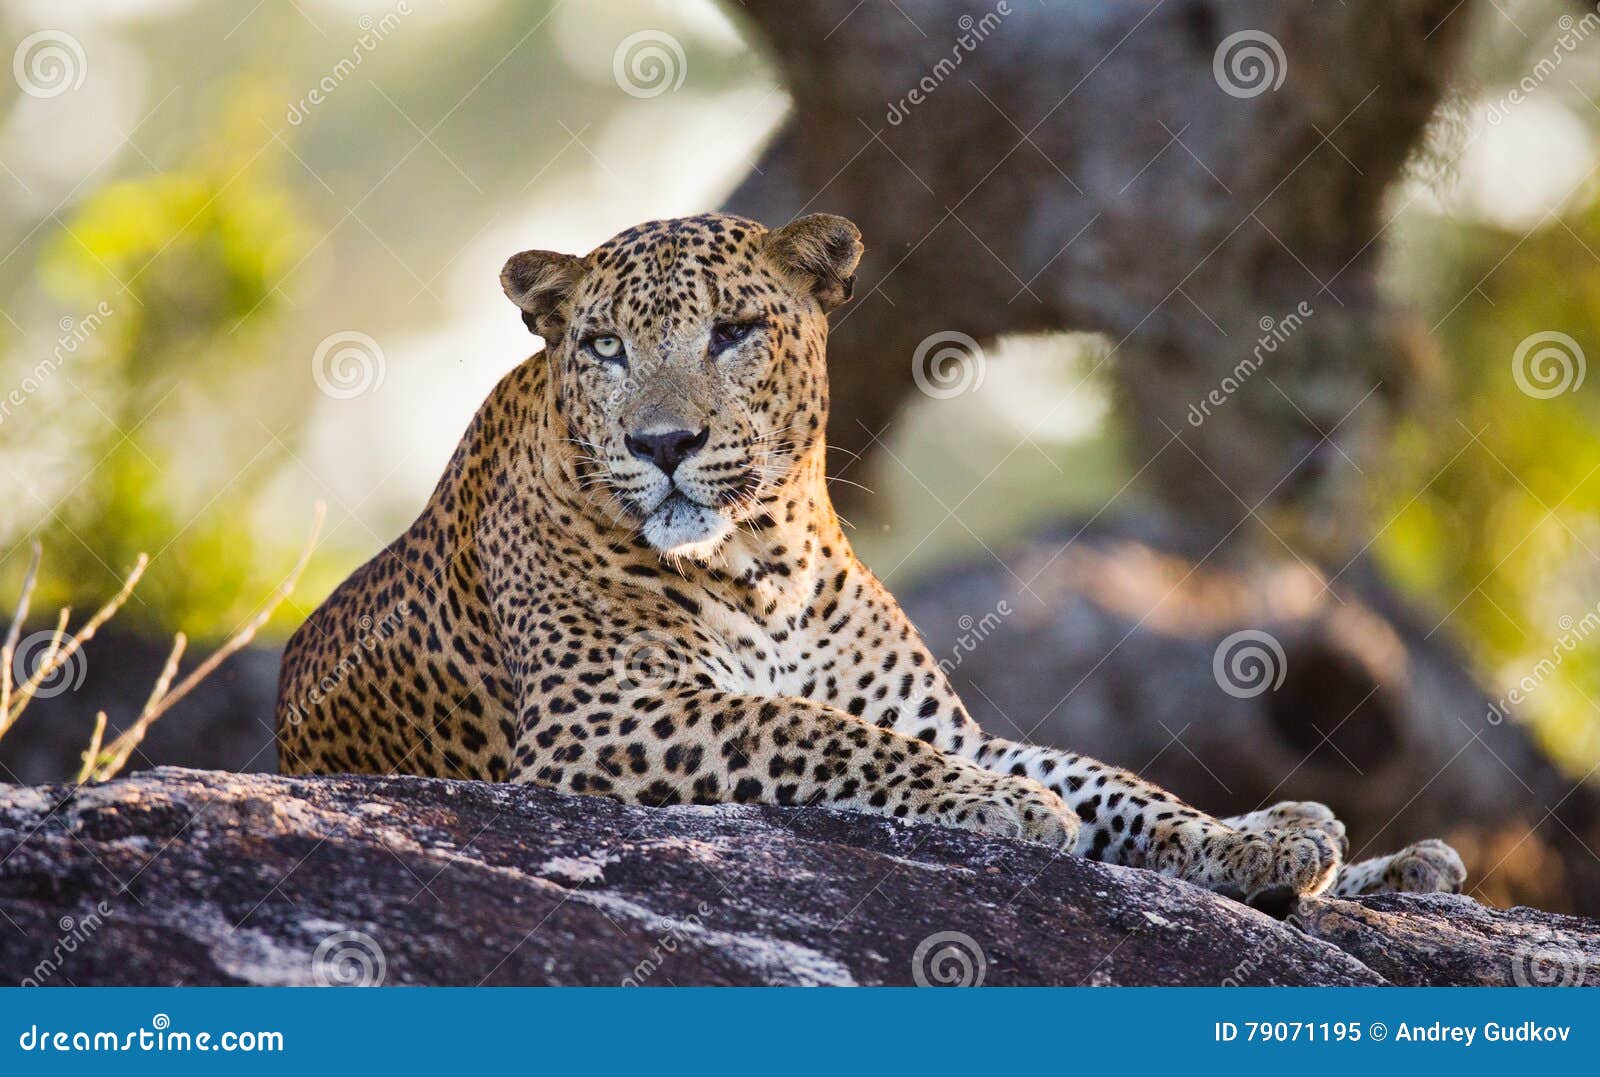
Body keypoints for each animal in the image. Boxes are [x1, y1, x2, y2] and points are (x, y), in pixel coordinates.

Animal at [276, 212, 1465, 904]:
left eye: (734, 331)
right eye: (604, 346)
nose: (662, 444)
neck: (764, 556)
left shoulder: (944, 723)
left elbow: (1108, 779)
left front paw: (1235, 843)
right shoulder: (604, 720)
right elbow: (810, 729)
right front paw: (1008, 811)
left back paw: (1360, 854)